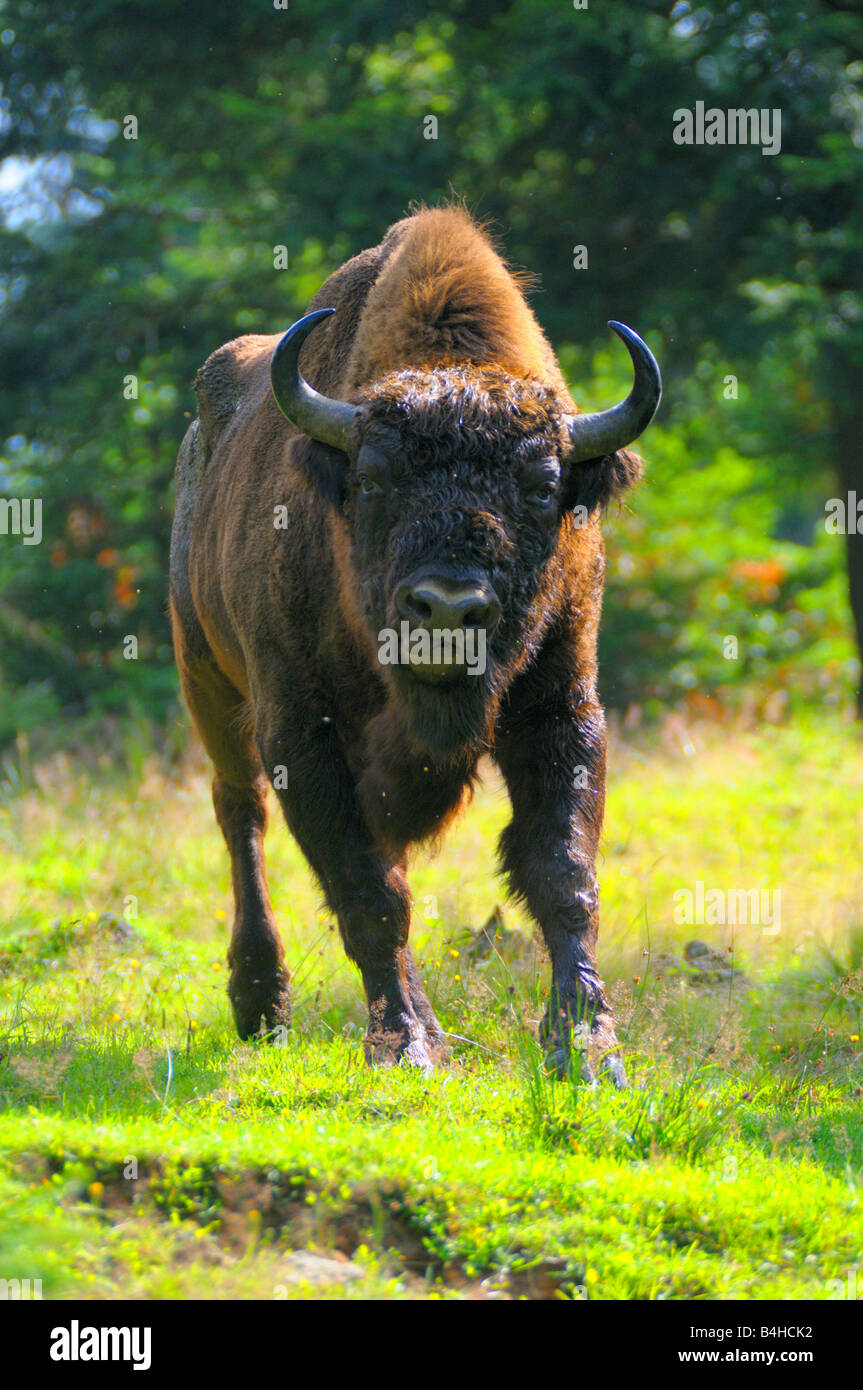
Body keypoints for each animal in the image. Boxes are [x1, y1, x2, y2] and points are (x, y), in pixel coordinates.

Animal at [169, 205, 660, 1083]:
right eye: (371, 479)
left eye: (543, 486)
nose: (446, 608)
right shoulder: (300, 733)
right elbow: (370, 893)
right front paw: (406, 1044)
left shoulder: (562, 708)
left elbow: (563, 871)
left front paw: (587, 1044)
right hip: (207, 681)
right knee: (240, 816)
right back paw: (260, 1004)